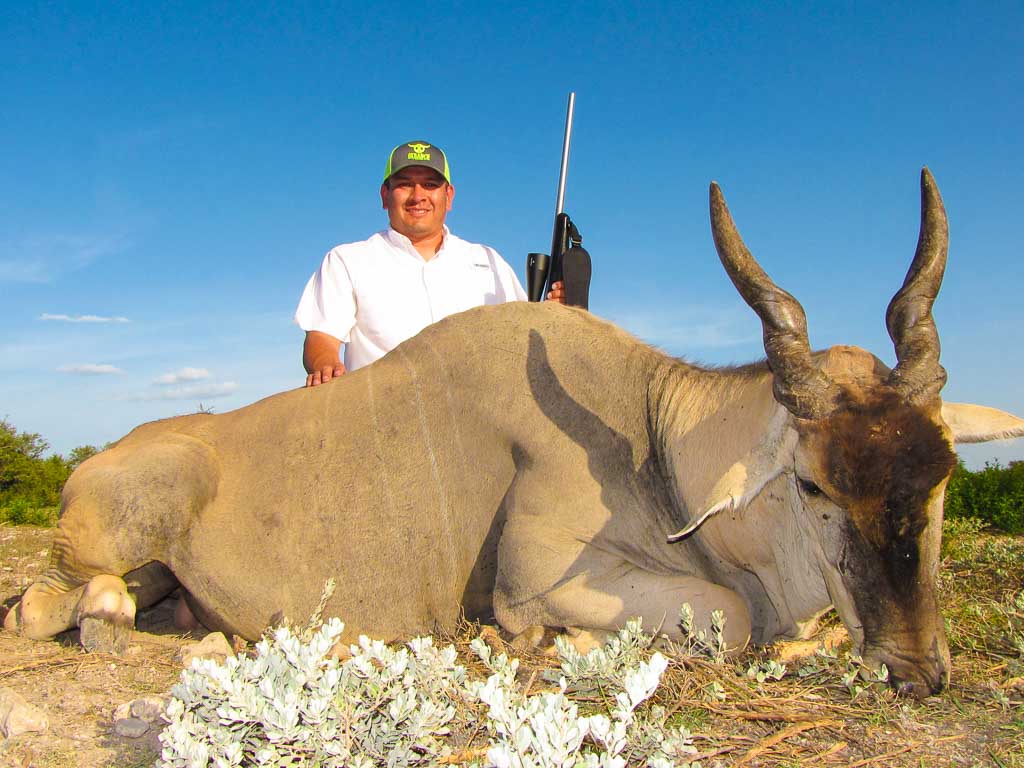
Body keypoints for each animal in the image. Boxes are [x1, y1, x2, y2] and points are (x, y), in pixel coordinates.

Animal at [4, 169, 1022, 699]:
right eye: (813, 486)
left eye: (938, 480)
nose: (917, 671)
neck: (649, 438)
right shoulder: (541, 581)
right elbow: (729, 619)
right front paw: (551, 649)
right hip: (118, 525)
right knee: (51, 605)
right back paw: (144, 629)